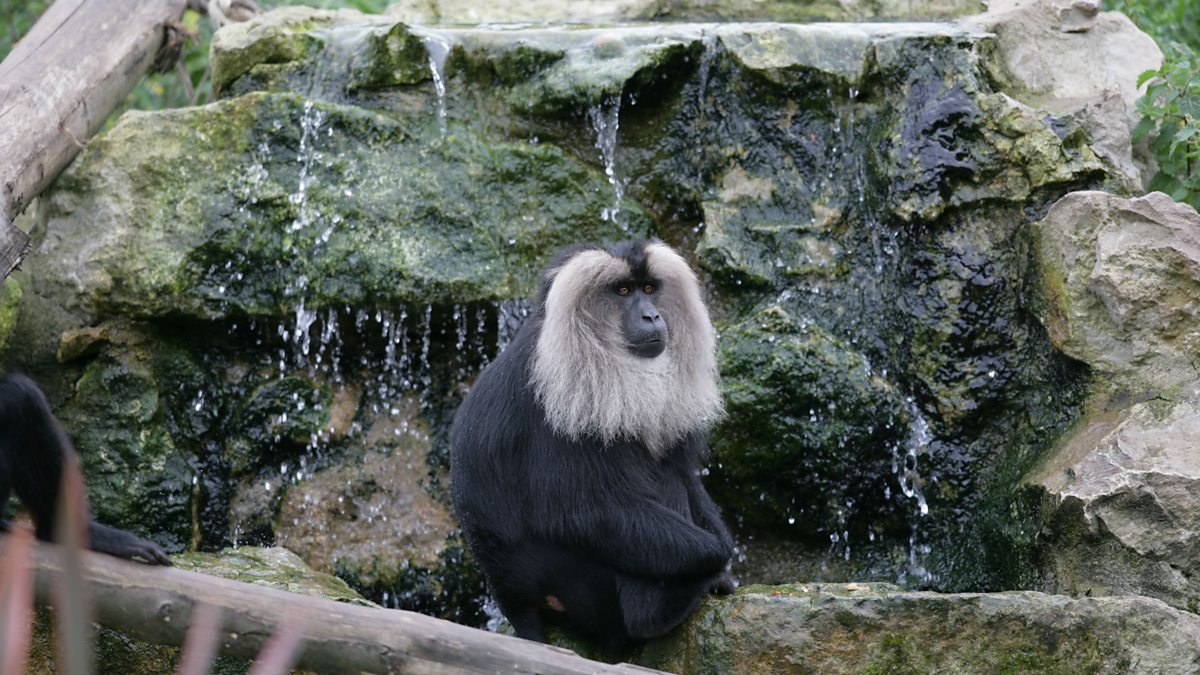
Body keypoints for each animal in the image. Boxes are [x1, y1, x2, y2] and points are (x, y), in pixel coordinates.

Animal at [450, 239, 733, 648]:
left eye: (649, 288)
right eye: (623, 291)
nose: (651, 316)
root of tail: (513, 598)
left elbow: (684, 475)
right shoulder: (555, 397)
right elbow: (581, 513)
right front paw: (721, 557)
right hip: (581, 588)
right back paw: (657, 613)